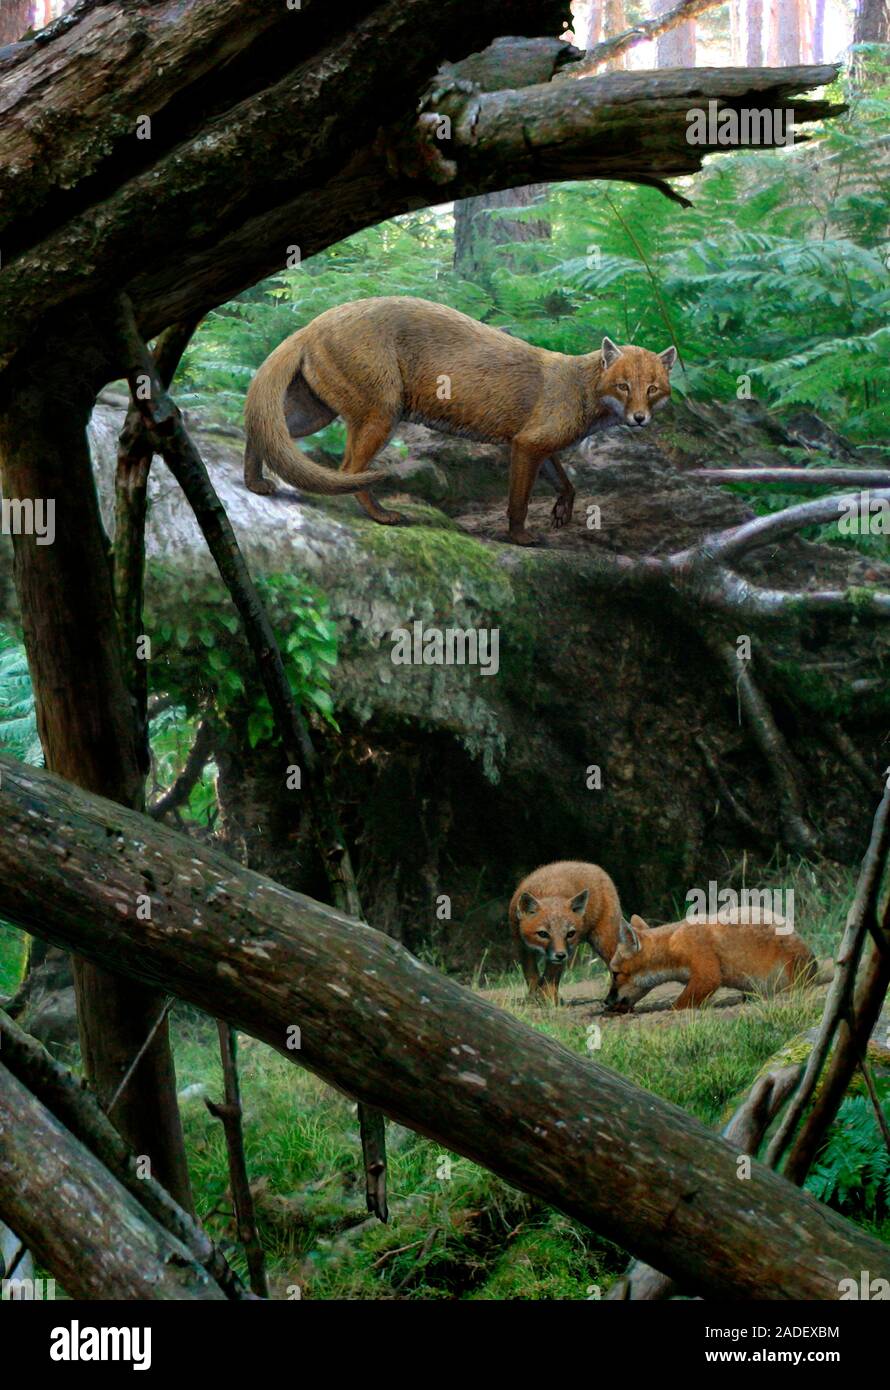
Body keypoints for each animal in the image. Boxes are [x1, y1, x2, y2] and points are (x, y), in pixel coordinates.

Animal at [243, 296, 677, 545]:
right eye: (623, 386)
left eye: (653, 388)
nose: (640, 418)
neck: (581, 387)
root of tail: (313, 323)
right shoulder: (527, 445)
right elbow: (518, 501)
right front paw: (520, 537)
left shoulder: (537, 444)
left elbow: (566, 481)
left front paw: (562, 512)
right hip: (380, 413)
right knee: (349, 469)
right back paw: (381, 516)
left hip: (317, 411)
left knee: (261, 431)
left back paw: (254, 484)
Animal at [509, 860, 624, 1004]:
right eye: (543, 934)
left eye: (570, 934)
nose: (560, 955)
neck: (549, 891)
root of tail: (592, 865)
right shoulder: (523, 948)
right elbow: (531, 976)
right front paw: (534, 997)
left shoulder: (563, 952)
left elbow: (550, 978)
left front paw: (548, 1000)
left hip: (604, 943)